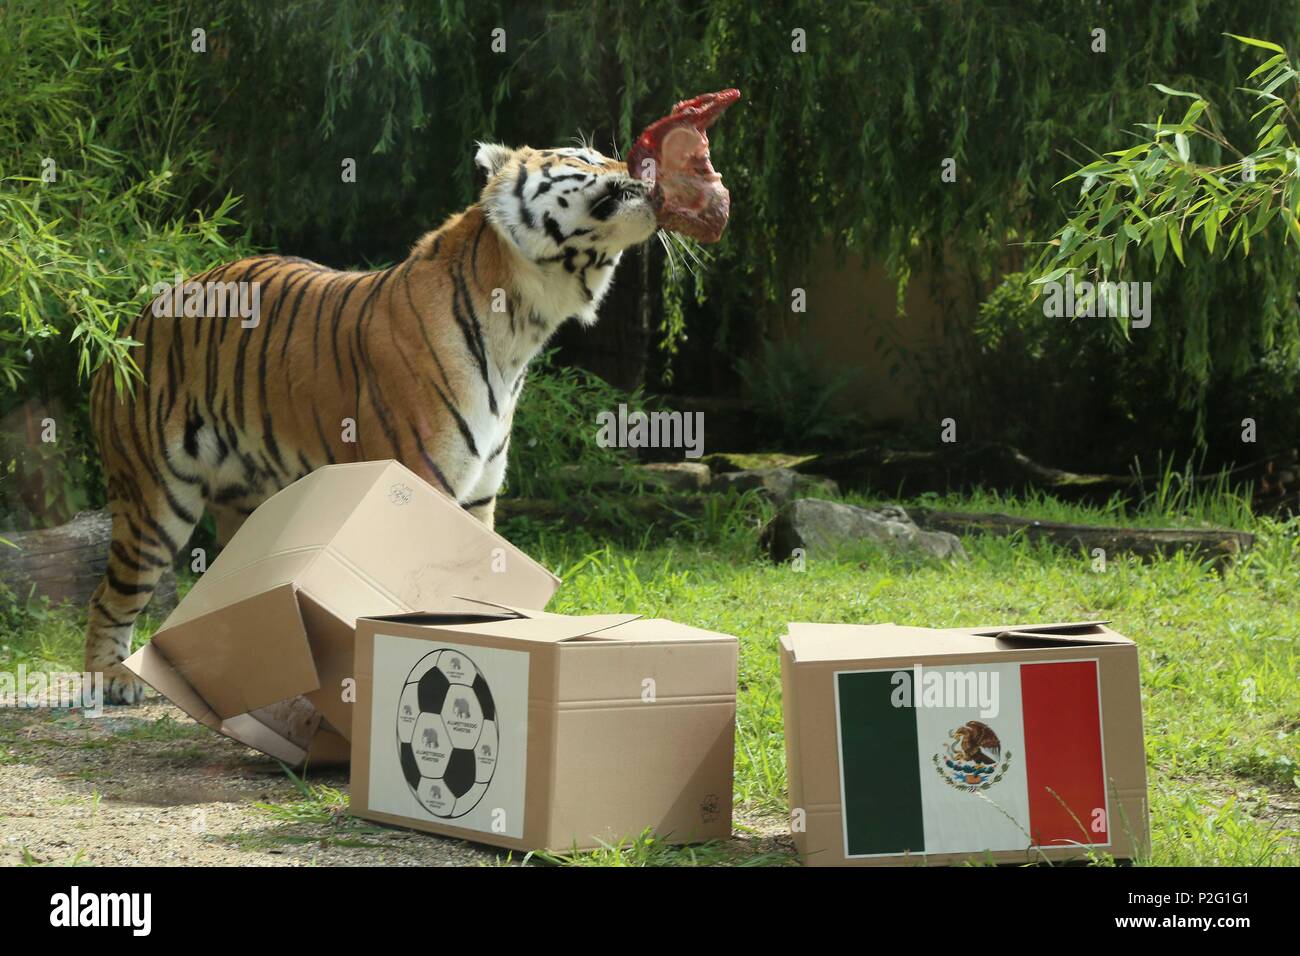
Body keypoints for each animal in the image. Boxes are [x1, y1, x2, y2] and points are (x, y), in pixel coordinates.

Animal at [86, 141, 658, 704]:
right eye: (584, 156)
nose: (645, 166)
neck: (522, 319)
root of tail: (138, 315)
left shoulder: (479, 497)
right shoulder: (422, 480)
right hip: (155, 500)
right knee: (108, 597)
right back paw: (110, 680)